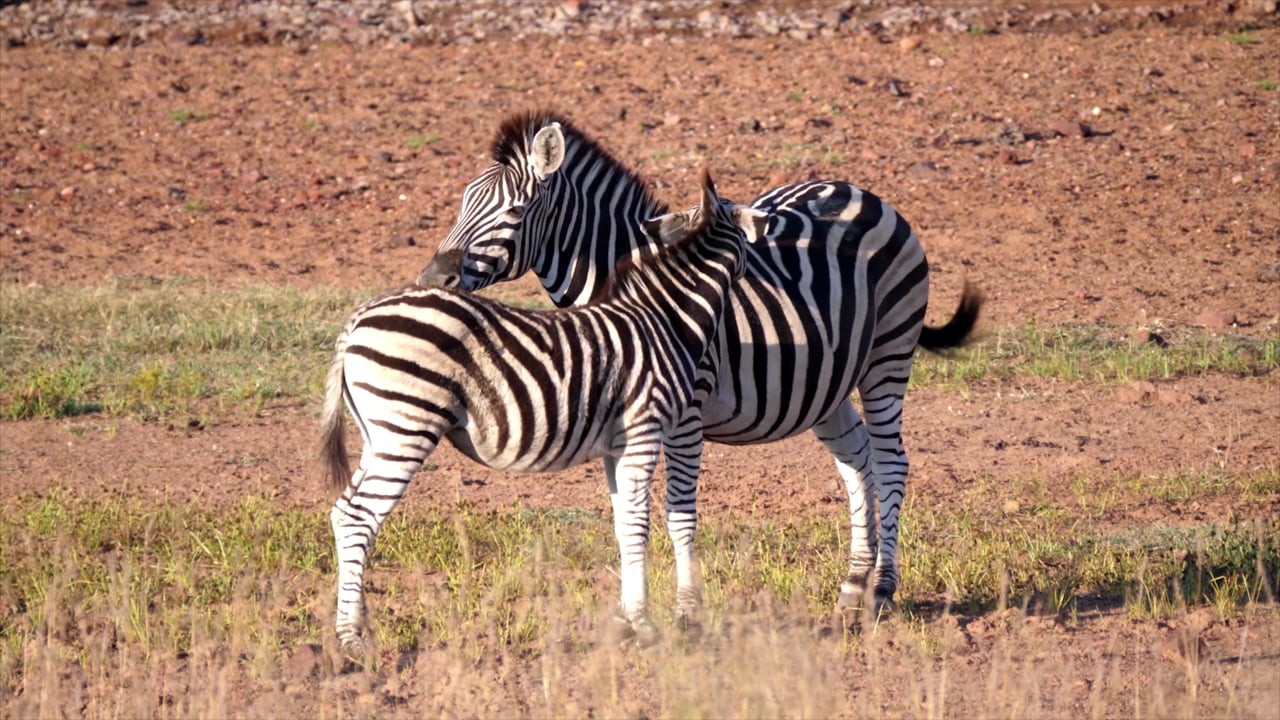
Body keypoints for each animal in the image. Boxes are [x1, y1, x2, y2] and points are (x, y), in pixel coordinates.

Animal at [320, 169, 762, 656]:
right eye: (746, 232)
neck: (664, 317)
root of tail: (359, 317)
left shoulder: (617, 445)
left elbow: (623, 526)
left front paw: (627, 623)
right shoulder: (644, 430)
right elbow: (639, 526)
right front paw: (645, 627)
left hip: (378, 435)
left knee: (342, 513)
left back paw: (356, 624)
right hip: (406, 428)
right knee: (359, 517)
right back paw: (351, 640)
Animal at [416, 110, 983, 619]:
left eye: (514, 213)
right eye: (463, 202)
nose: (430, 279)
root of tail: (857, 190)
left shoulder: (684, 415)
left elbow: (678, 514)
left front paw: (687, 610)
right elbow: (625, 514)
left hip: (888, 358)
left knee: (890, 462)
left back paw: (883, 588)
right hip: (826, 386)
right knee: (857, 462)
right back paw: (853, 583)